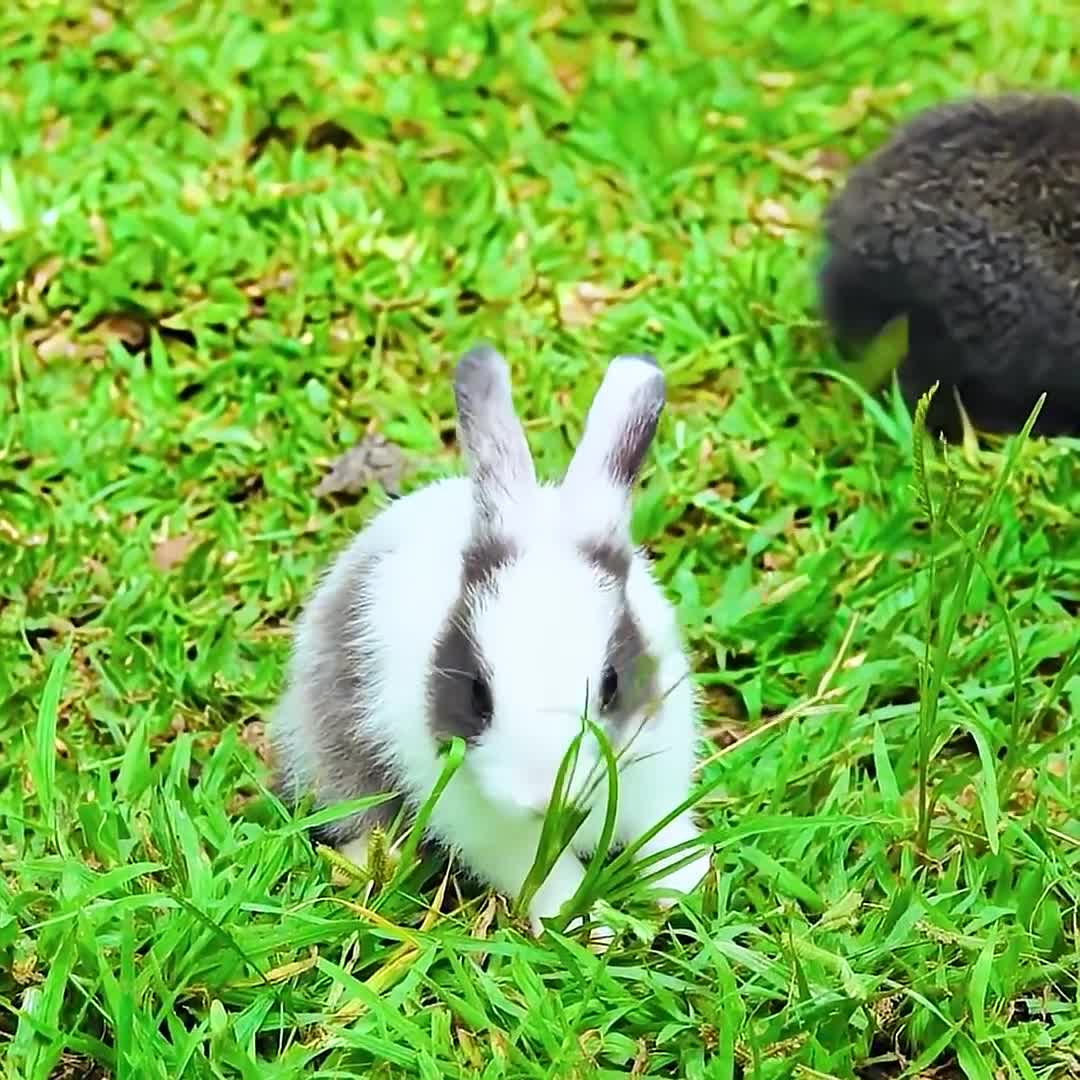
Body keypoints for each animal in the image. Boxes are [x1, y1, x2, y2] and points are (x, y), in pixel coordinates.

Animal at [268, 344, 712, 939]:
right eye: (478, 694)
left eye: (613, 686)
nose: (543, 794)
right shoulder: (488, 827)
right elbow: (545, 878)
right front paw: (586, 929)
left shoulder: (658, 772)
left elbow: (663, 837)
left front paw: (690, 888)